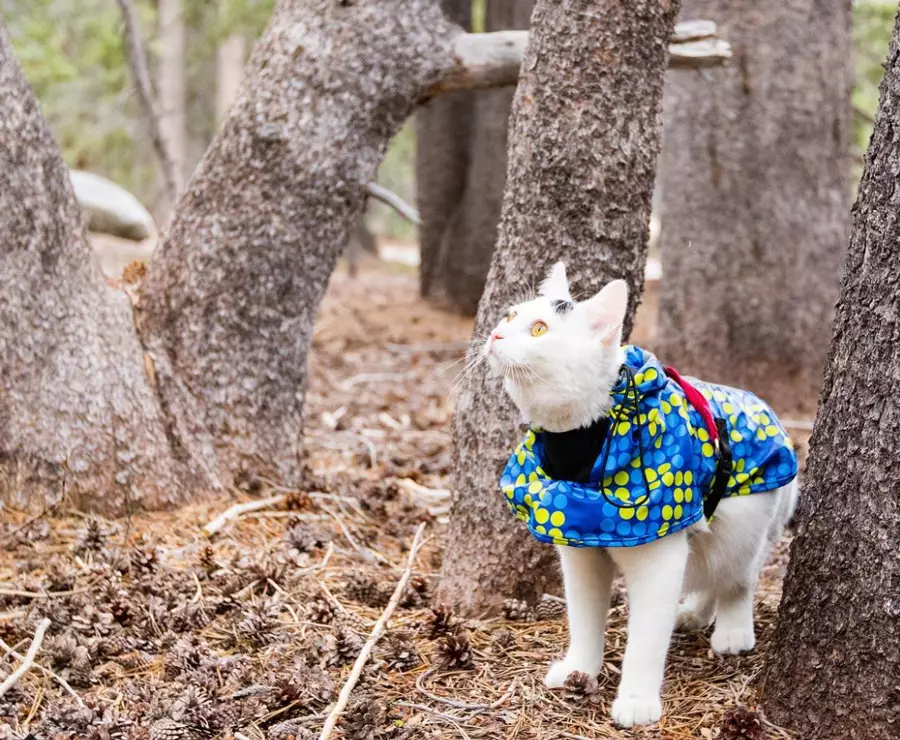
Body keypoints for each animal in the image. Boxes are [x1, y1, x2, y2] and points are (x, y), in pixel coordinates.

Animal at [482, 262, 800, 728]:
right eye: (509, 316)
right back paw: (694, 613)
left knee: (738, 579)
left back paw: (733, 630)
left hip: (742, 526)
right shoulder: (579, 545)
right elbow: (584, 619)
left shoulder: (658, 556)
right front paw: (580, 670)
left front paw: (636, 700)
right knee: (710, 573)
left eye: (539, 329)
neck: (581, 439)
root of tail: (771, 413)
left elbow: (647, 637)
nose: (495, 335)